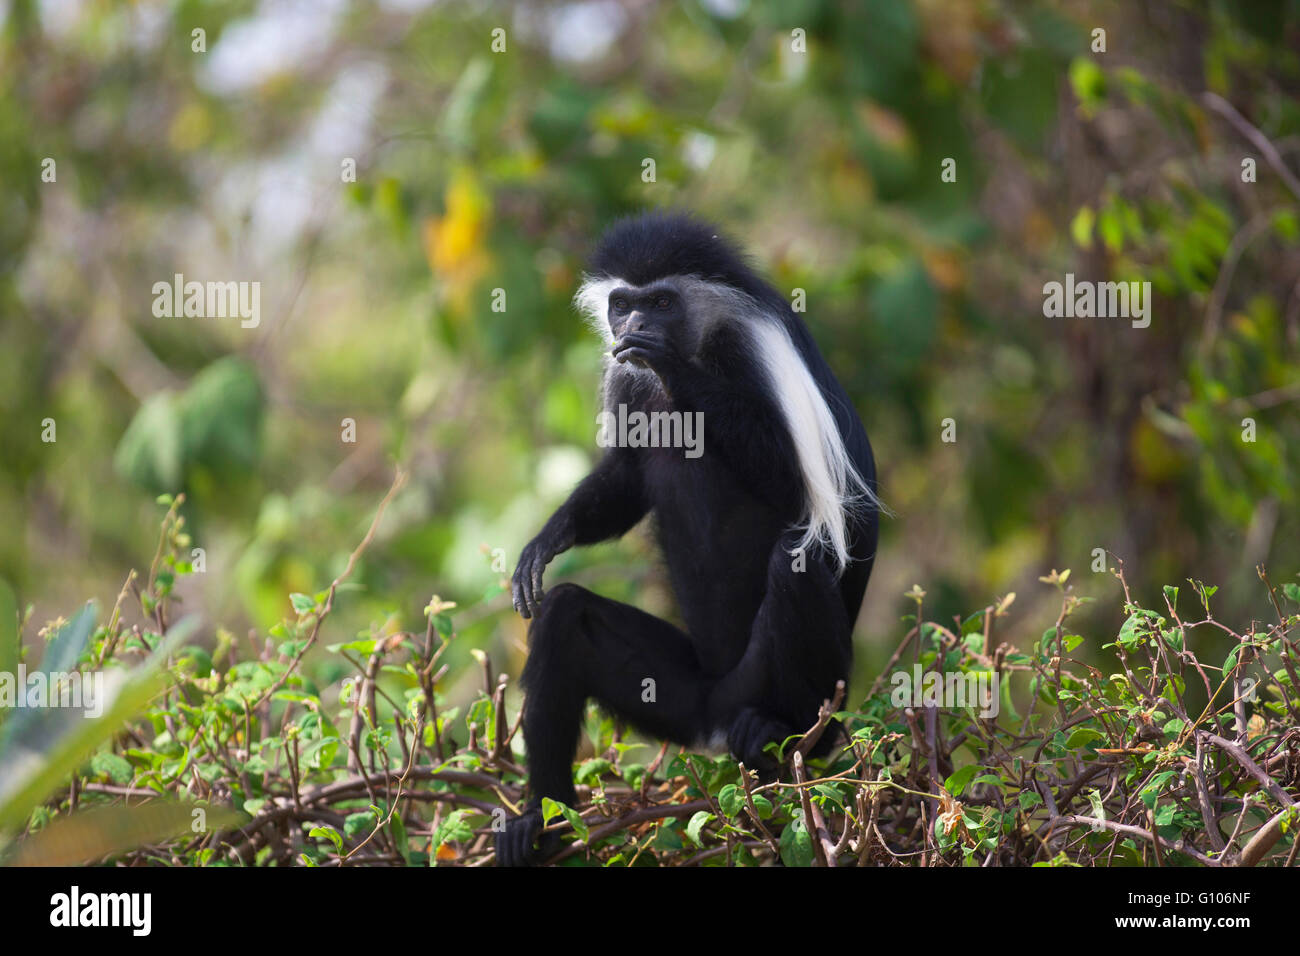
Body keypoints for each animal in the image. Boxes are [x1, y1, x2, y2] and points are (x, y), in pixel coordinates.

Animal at [497, 212, 880, 865]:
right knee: (565, 617)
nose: (634, 327)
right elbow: (627, 477)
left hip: (782, 680)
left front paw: (673, 367)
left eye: (661, 303)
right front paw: (545, 542)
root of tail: (720, 713)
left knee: (796, 566)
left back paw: (789, 735)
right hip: (683, 695)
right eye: (623, 304)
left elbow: (801, 489)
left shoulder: (753, 351)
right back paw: (538, 824)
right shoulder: (624, 377)